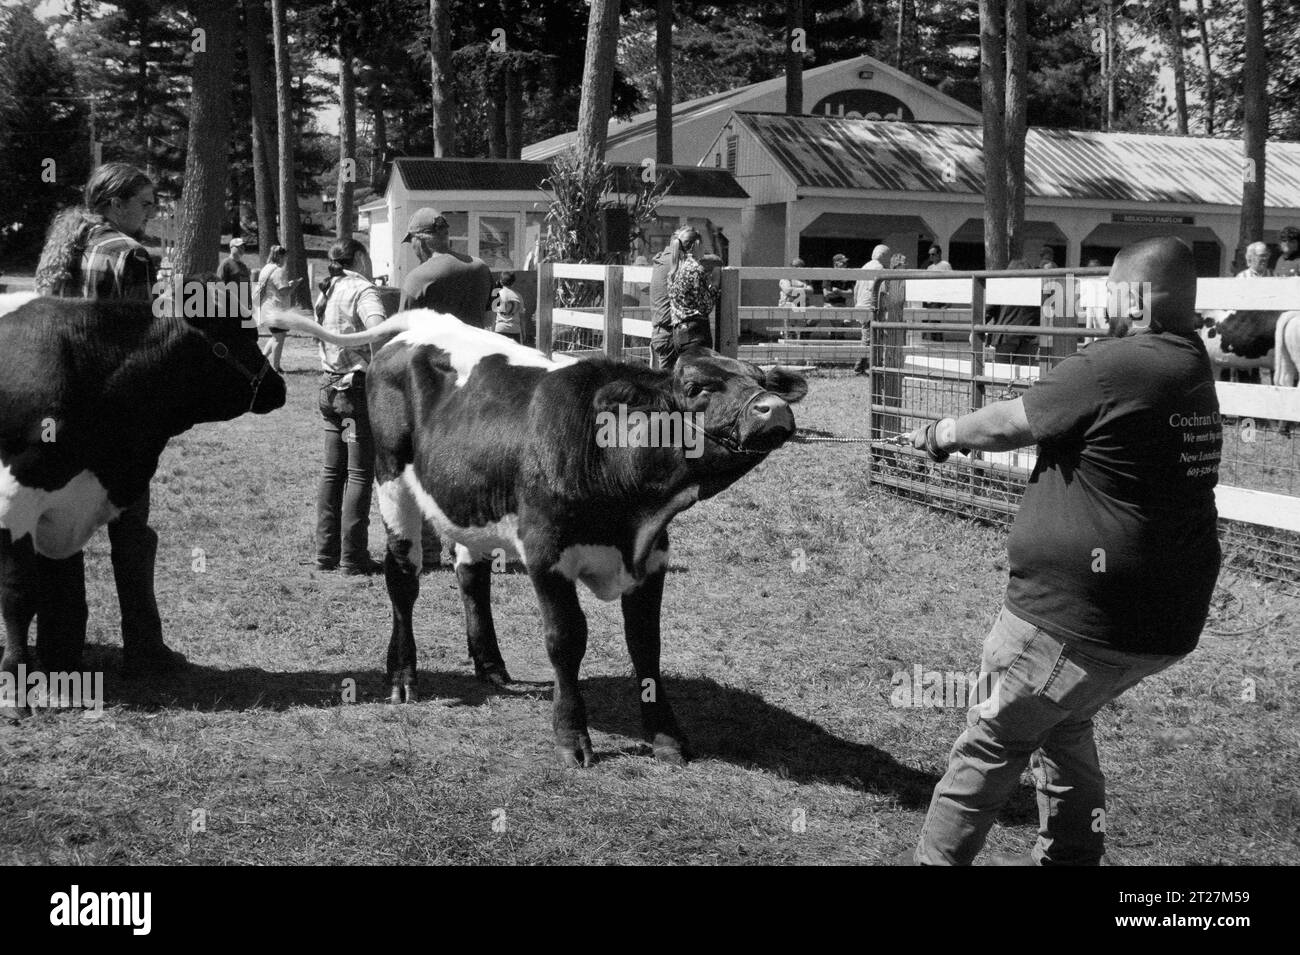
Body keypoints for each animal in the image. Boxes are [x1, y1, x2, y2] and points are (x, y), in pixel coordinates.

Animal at [1, 295, 287, 713]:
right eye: (240, 331)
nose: (277, 386)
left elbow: (65, 588)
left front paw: (59, 671)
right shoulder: (13, 506)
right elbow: (20, 595)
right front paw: (16, 685)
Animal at [270, 307, 807, 767]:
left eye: (761, 380)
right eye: (695, 387)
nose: (774, 408)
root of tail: (424, 322)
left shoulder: (651, 557)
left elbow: (646, 644)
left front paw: (666, 737)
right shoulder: (546, 555)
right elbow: (566, 639)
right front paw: (572, 737)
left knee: (472, 574)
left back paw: (489, 662)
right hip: (391, 478)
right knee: (402, 578)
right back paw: (403, 675)